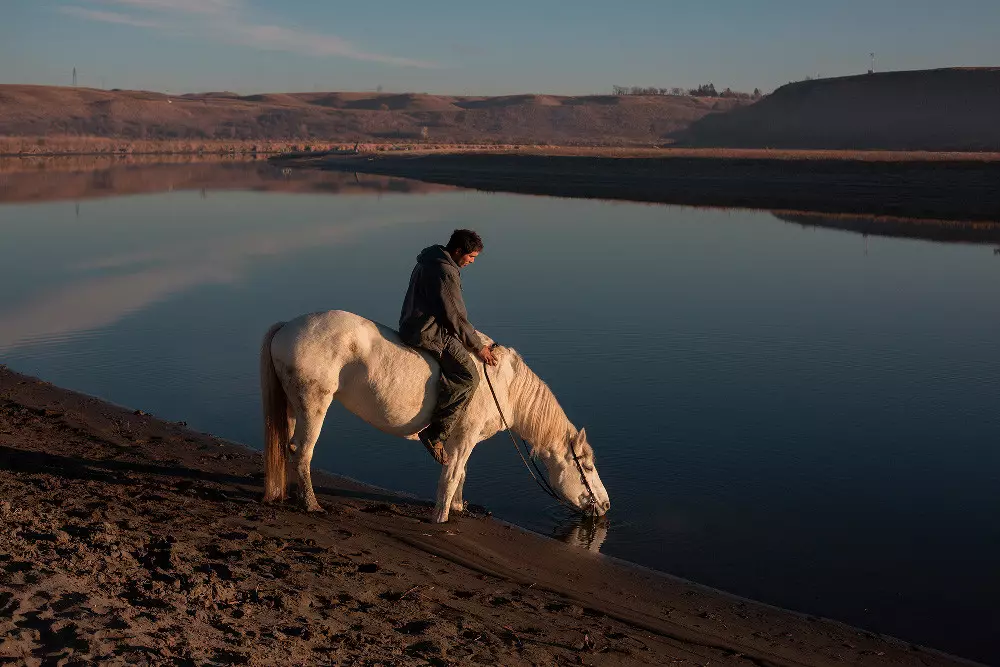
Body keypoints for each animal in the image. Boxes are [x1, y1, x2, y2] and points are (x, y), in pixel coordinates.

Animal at [260, 310, 608, 524]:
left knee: (288, 446)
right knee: (303, 452)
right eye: (588, 467)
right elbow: (452, 475)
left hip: (292, 407)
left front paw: (458, 507)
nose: (605, 506)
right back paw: (311, 504)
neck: (505, 386)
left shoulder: (461, 439)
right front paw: (441, 518)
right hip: (313, 404)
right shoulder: (465, 437)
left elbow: (461, 472)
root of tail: (287, 327)